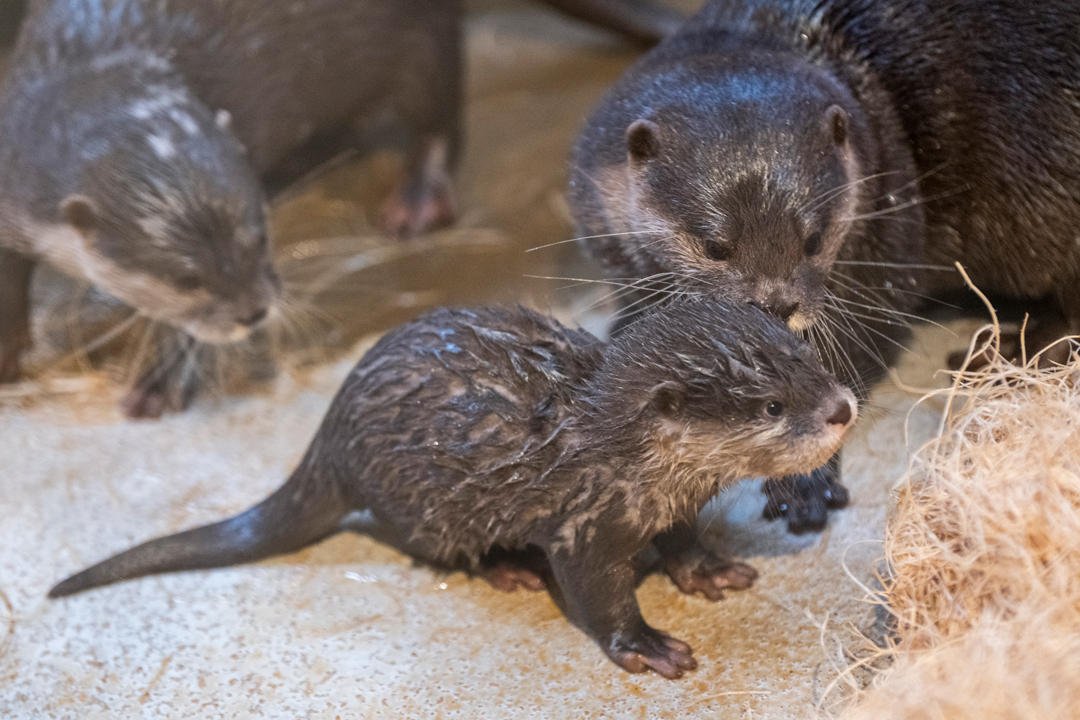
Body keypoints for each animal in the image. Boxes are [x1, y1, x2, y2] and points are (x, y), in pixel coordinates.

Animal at [0, 0, 683, 417]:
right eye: (185, 277)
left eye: (260, 239)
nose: (254, 312)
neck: (96, 66)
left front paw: (159, 381)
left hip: (419, 41)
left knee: (440, 112)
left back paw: (416, 199)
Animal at [49, 299, 857, 678]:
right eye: (770, 407)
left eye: (808, 360)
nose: (842, 408)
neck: (617, 458)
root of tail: (332, 434)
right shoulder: (584, 521)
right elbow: (596, 594)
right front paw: (648, 644)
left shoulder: (672, 504)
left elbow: (686, 542)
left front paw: (710, 571)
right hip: (423, 501)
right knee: (432, 544)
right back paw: (510, 566)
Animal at [567, 0, 1080, 532]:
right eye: (714, 246)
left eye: (813, 240)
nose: (775, 304)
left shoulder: (886, 229)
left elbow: (850, 352)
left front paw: (803, 482)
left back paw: (1009, 353)